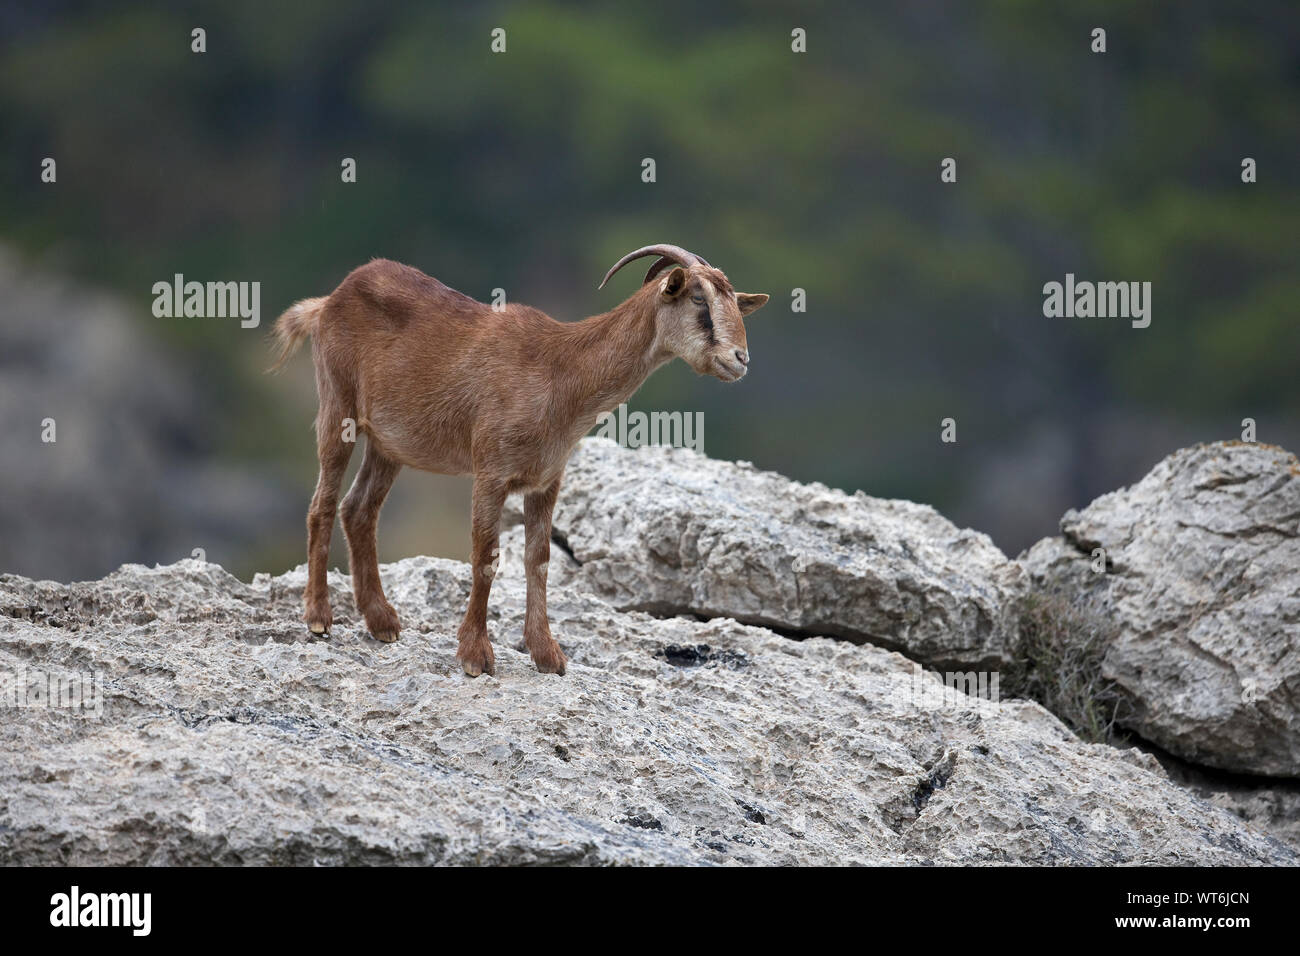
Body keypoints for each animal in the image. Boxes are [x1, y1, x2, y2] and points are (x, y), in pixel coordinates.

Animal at [269, 244, 768, 677]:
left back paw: (383, 623)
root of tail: (328, 301)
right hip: (338, 406)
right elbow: (486, 557)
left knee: (359, 510)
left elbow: (538, 558)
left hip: (389, 443)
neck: (561, 372)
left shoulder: (546, 480)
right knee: (323, 504)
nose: (740, 359)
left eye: (734, 302)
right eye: (698, 299)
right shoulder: (491, 472)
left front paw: (548, 655)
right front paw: (475, 656)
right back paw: (319, 617)